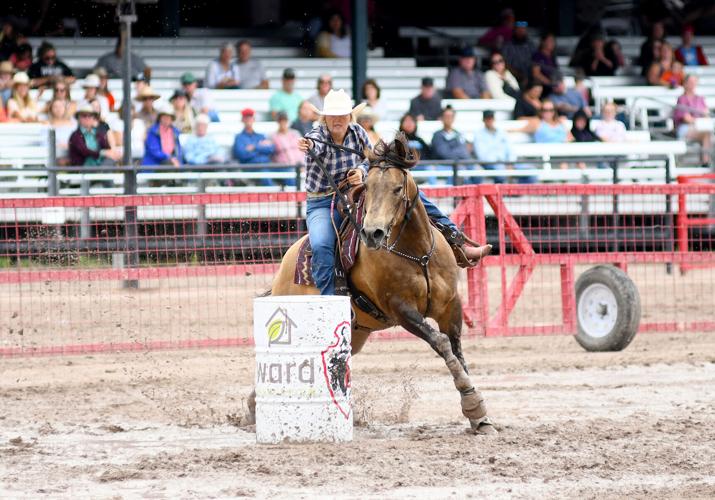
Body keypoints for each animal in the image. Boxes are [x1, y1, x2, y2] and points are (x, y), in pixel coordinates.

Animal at [254, 133, 494, 434]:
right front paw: (474, 402)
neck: (417, 253)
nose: (372, 233)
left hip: (357, 333)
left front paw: (479, 415)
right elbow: (441, 343)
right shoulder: (401, 310)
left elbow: (456, 348)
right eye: (367, 187)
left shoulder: (451, 304)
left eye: (397, 188)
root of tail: (283, 270)